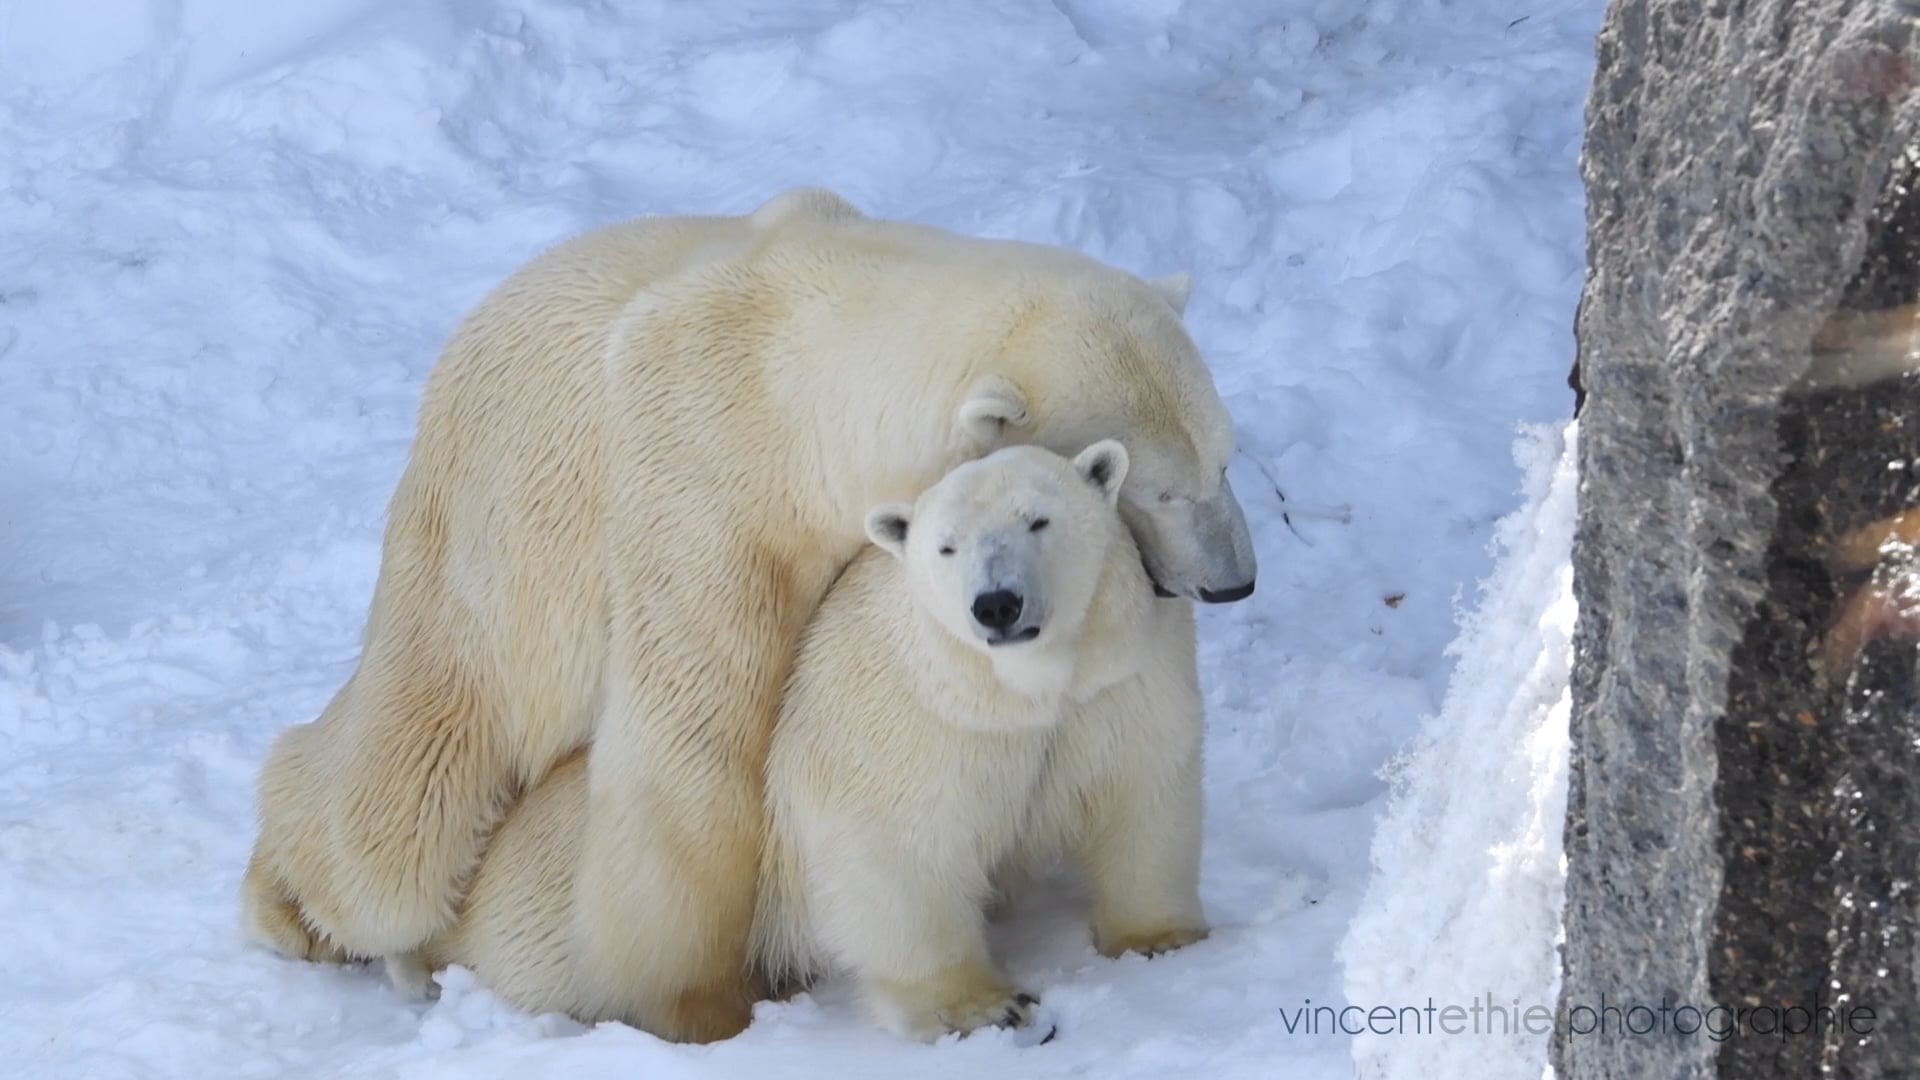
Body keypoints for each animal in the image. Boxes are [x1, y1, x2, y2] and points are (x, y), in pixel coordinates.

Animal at [389, 442, 1209, 1042]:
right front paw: (990, 1007)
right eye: (946, 548)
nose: (997, 604)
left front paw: (1162, 939)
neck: (1015, 690)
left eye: (1037, 520)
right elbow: (894, 855)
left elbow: (1145, 794)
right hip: (559, 903)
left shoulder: (1116, 684)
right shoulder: (905, 718)